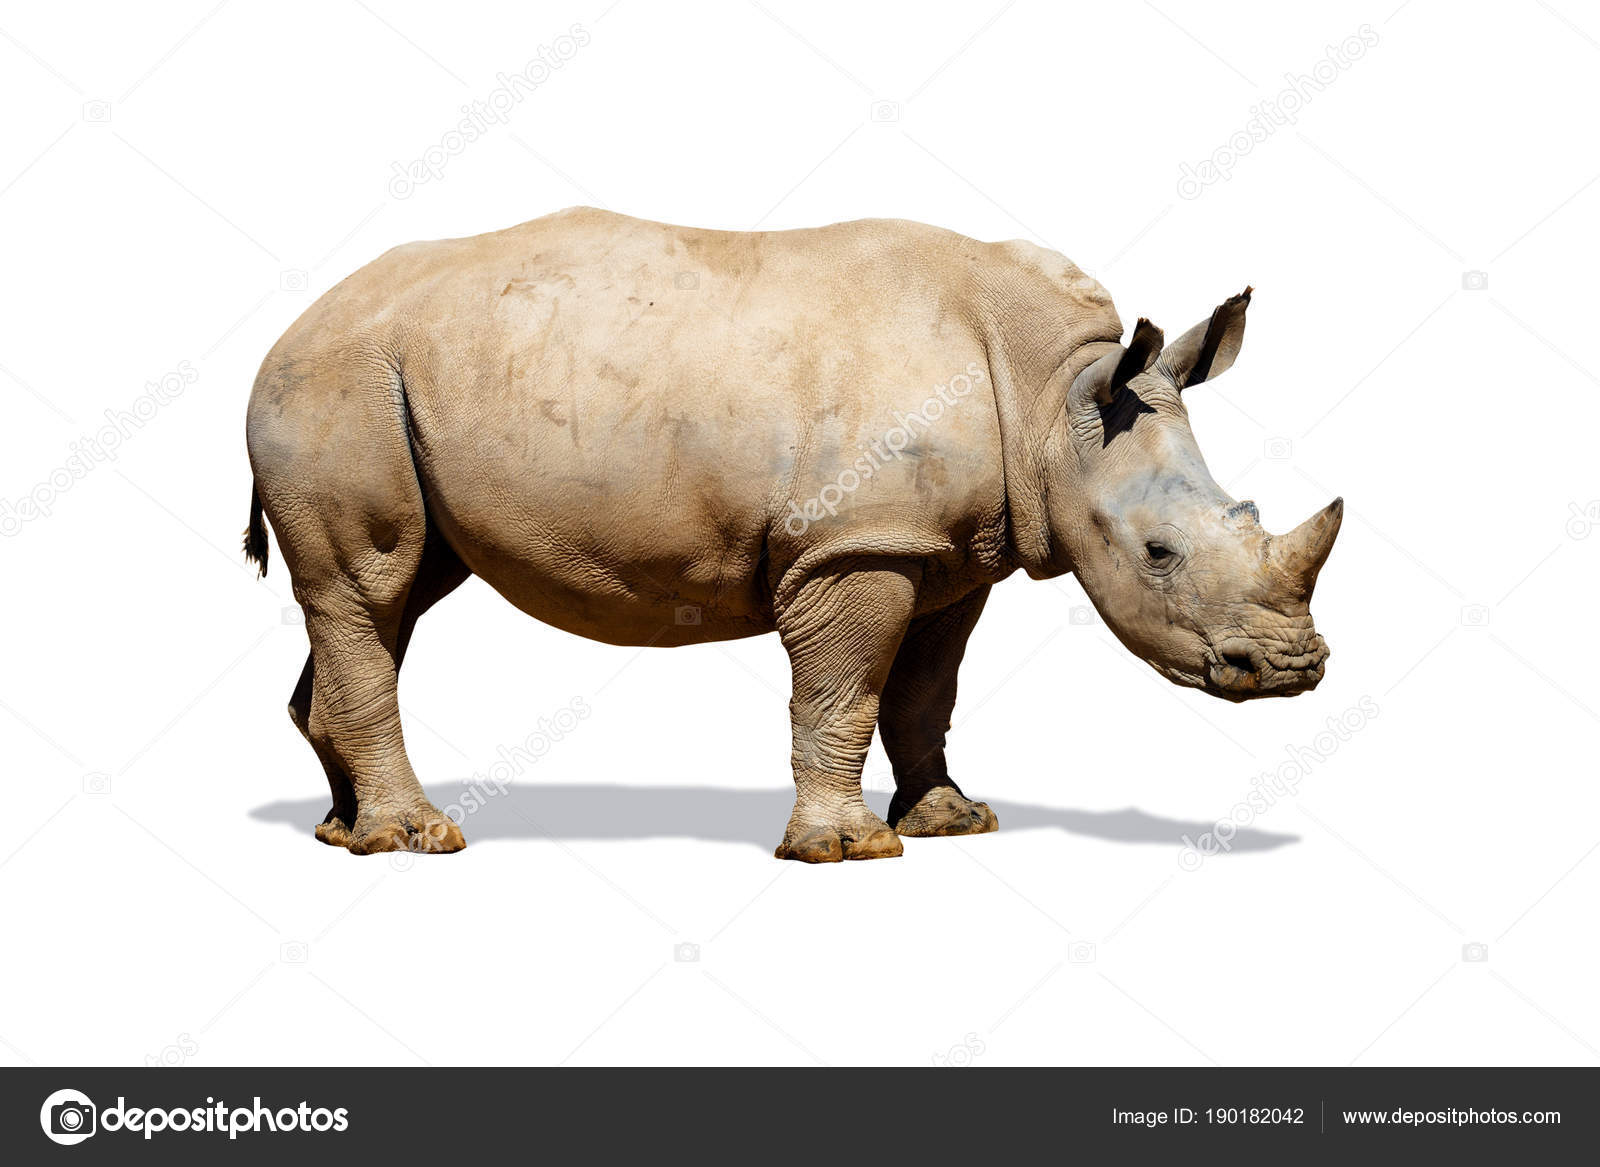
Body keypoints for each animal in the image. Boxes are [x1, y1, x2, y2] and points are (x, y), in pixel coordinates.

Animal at [243, 207, 1341, 862]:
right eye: (1158, 554)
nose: (1292, 670)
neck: (1050, 394)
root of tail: (290, 325)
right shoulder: (856, 543)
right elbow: (842, 692)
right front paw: (846, 851)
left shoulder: (941, 551)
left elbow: (922, 693)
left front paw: (951, 822)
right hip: (339, 379)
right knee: (366, 585)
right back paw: (412, 837)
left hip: (388, 380)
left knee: (391, 595)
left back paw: (343, 832)